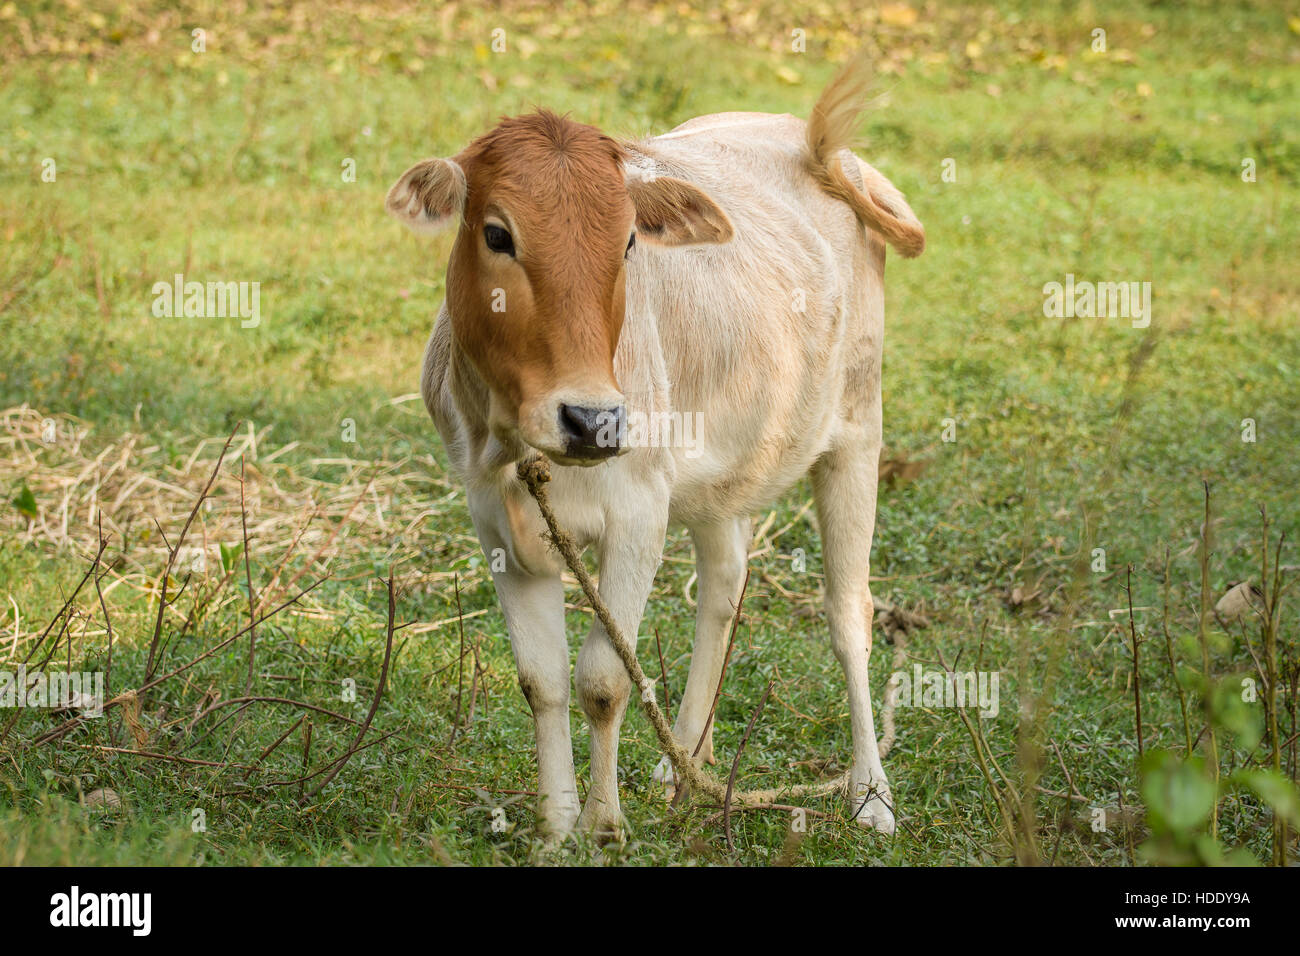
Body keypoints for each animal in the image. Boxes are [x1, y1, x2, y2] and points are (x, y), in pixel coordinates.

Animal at [386, 57, 925, 841]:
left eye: (629, 242)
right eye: (496, 234)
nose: (592, 421)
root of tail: (813, 145)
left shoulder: (638, 512)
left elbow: (604, 681)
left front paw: (603, 826)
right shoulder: (492, 521)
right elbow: (542, 681)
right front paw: (556, 827)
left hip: (856, 430)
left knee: (847, 614)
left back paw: (871, 794)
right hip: (725, 472)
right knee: (725, 586)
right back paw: (688, 762)